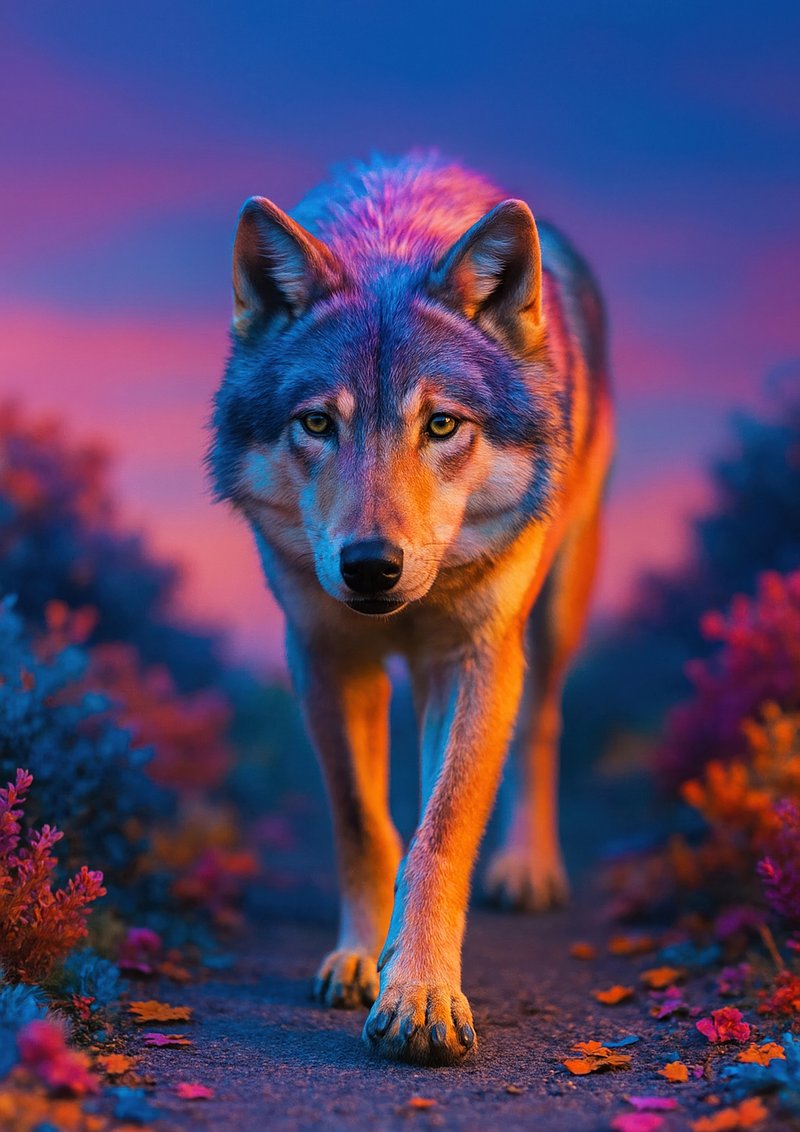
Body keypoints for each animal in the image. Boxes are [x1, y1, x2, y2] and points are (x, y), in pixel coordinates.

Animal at [209, 151, 613, 1066]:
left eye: (440, 425)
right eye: (317, 423)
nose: (370, 566)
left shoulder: (474, 658)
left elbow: (442, 830)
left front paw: (422, 993)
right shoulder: (325, 656)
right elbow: (366, 823)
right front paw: (366, 957)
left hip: (554, 613)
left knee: (543, 724)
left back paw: (526, 871)